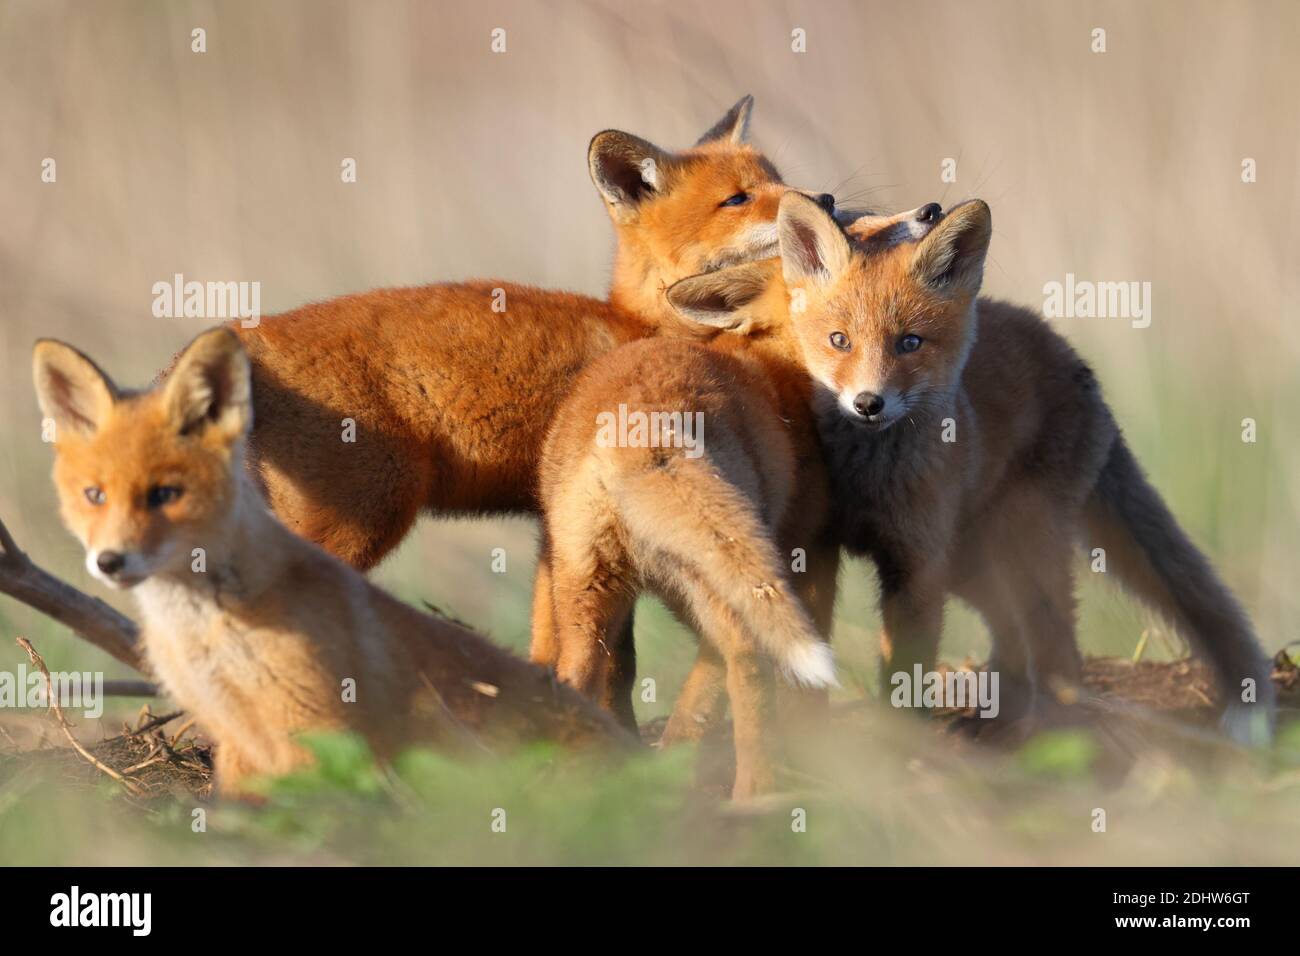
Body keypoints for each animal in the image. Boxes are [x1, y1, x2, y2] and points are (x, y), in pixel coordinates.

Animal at [664, 193, 1275, 743]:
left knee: (1057, 646)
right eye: (839, 340)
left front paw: (899, 749)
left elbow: (904, 673)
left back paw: (1052, 733)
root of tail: (1067, 353)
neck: (865, 480)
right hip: (971, 560)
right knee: (1010, 632)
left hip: (1018, 539)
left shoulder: (915, 563)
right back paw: (1000, 718)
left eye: (909, 342)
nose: (868, 403)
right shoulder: (818, 549)